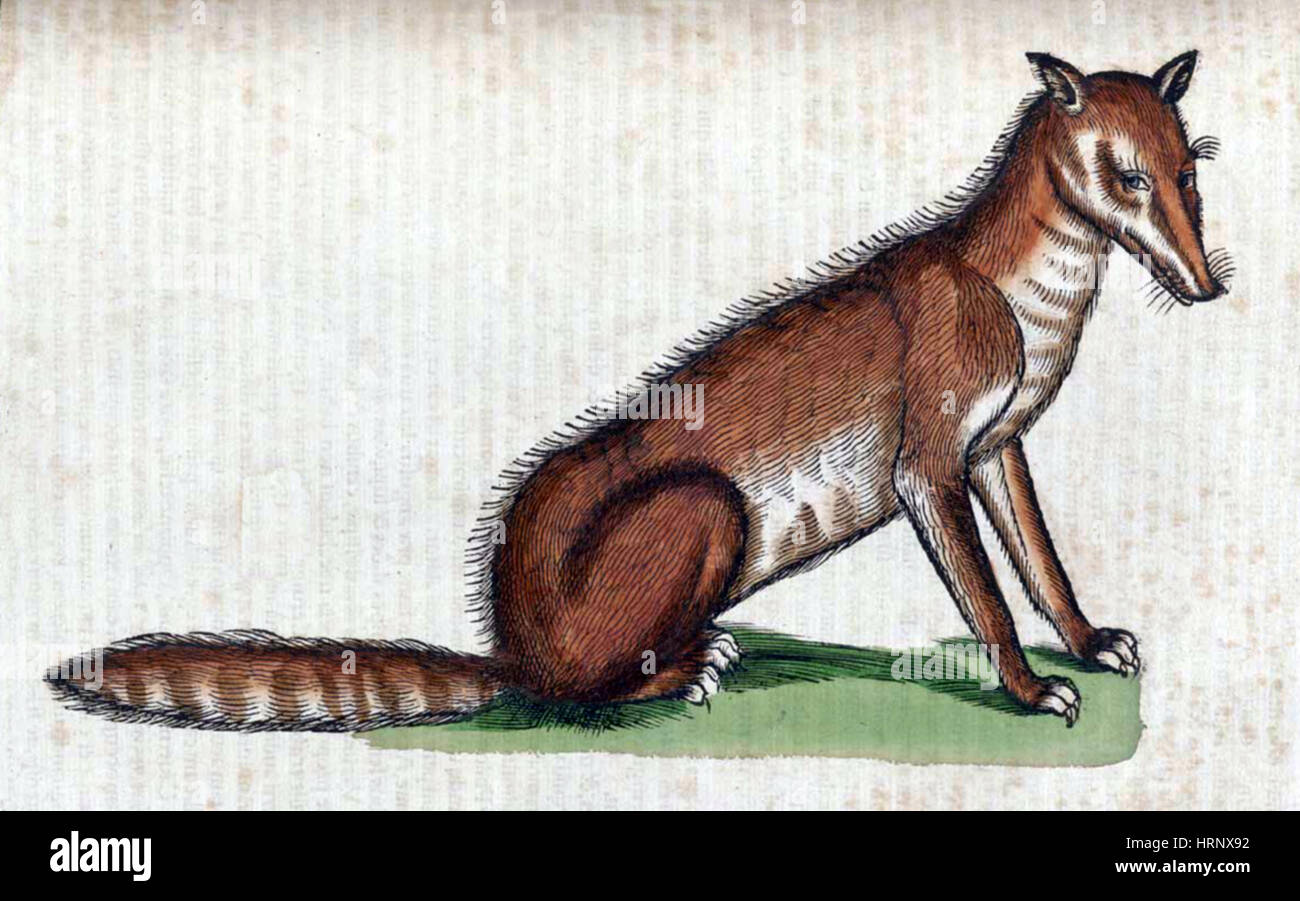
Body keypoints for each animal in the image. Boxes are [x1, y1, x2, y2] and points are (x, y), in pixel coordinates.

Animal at [49, 51, 1227, 731]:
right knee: (582, 696)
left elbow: (1042, 561)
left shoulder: (1000, 446)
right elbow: (985, 594)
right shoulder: (927, 462)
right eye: (1124, 175)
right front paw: (1032, 689)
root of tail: (508, 648)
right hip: (708, 506)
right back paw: (687, 667)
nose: (1208, 285)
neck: (1021, 297)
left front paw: (1090, 640)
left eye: (1189, 171)